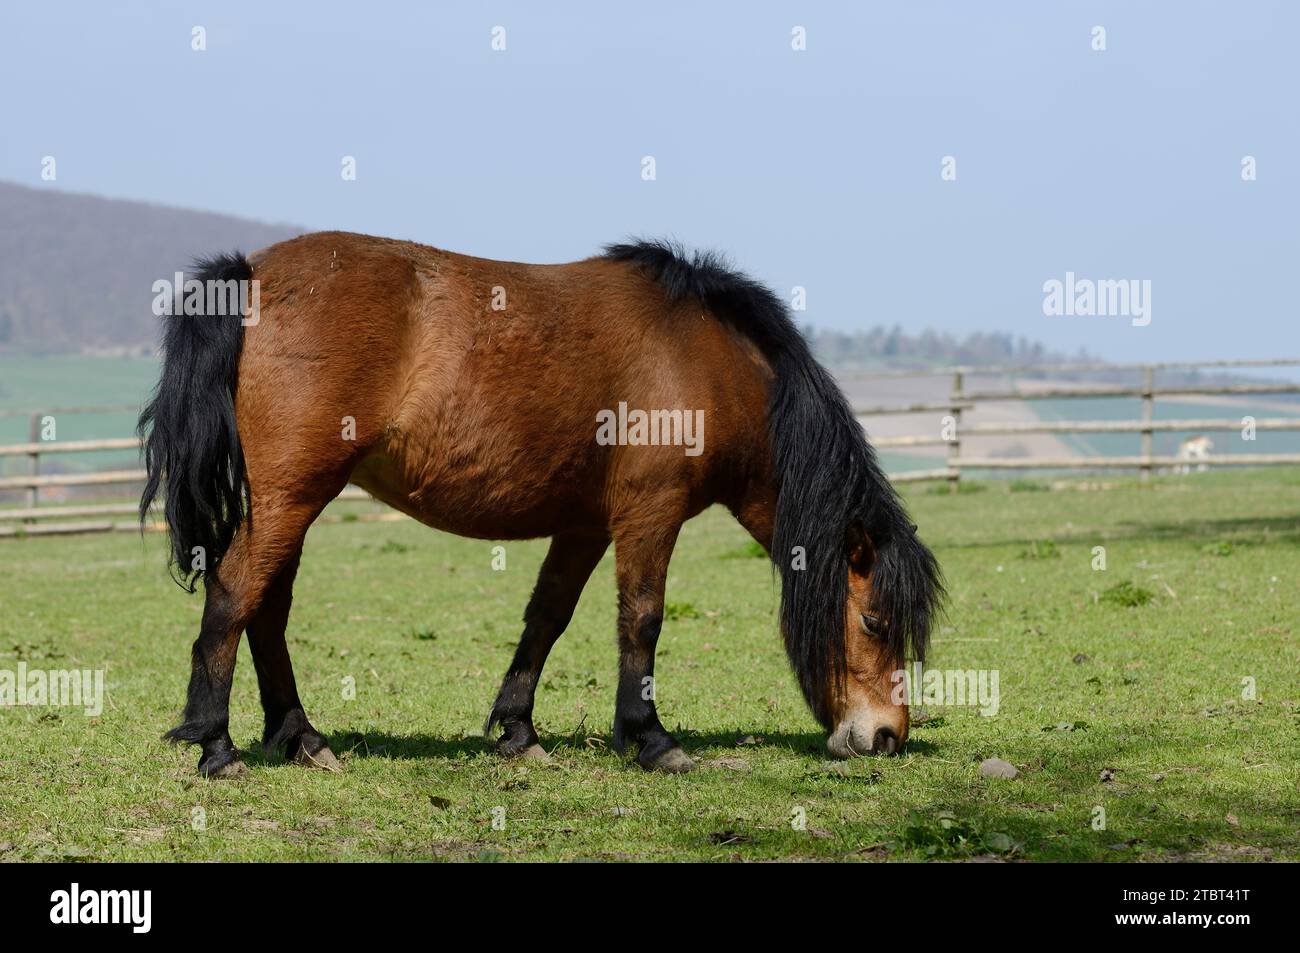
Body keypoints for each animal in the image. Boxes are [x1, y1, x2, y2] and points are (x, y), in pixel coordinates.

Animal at [138, 232, 943, 777]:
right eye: (874, 621)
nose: (888, 736)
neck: (705, 360)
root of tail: (249, 276)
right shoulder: (649, 514)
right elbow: (642, 620)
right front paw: (651, 739)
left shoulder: (584, 524)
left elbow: (546, 619)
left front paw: (517, 732)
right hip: (292, 495)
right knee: (236, 594)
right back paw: (216, 743)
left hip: (293, 501)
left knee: (265, 609)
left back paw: (302, 736)